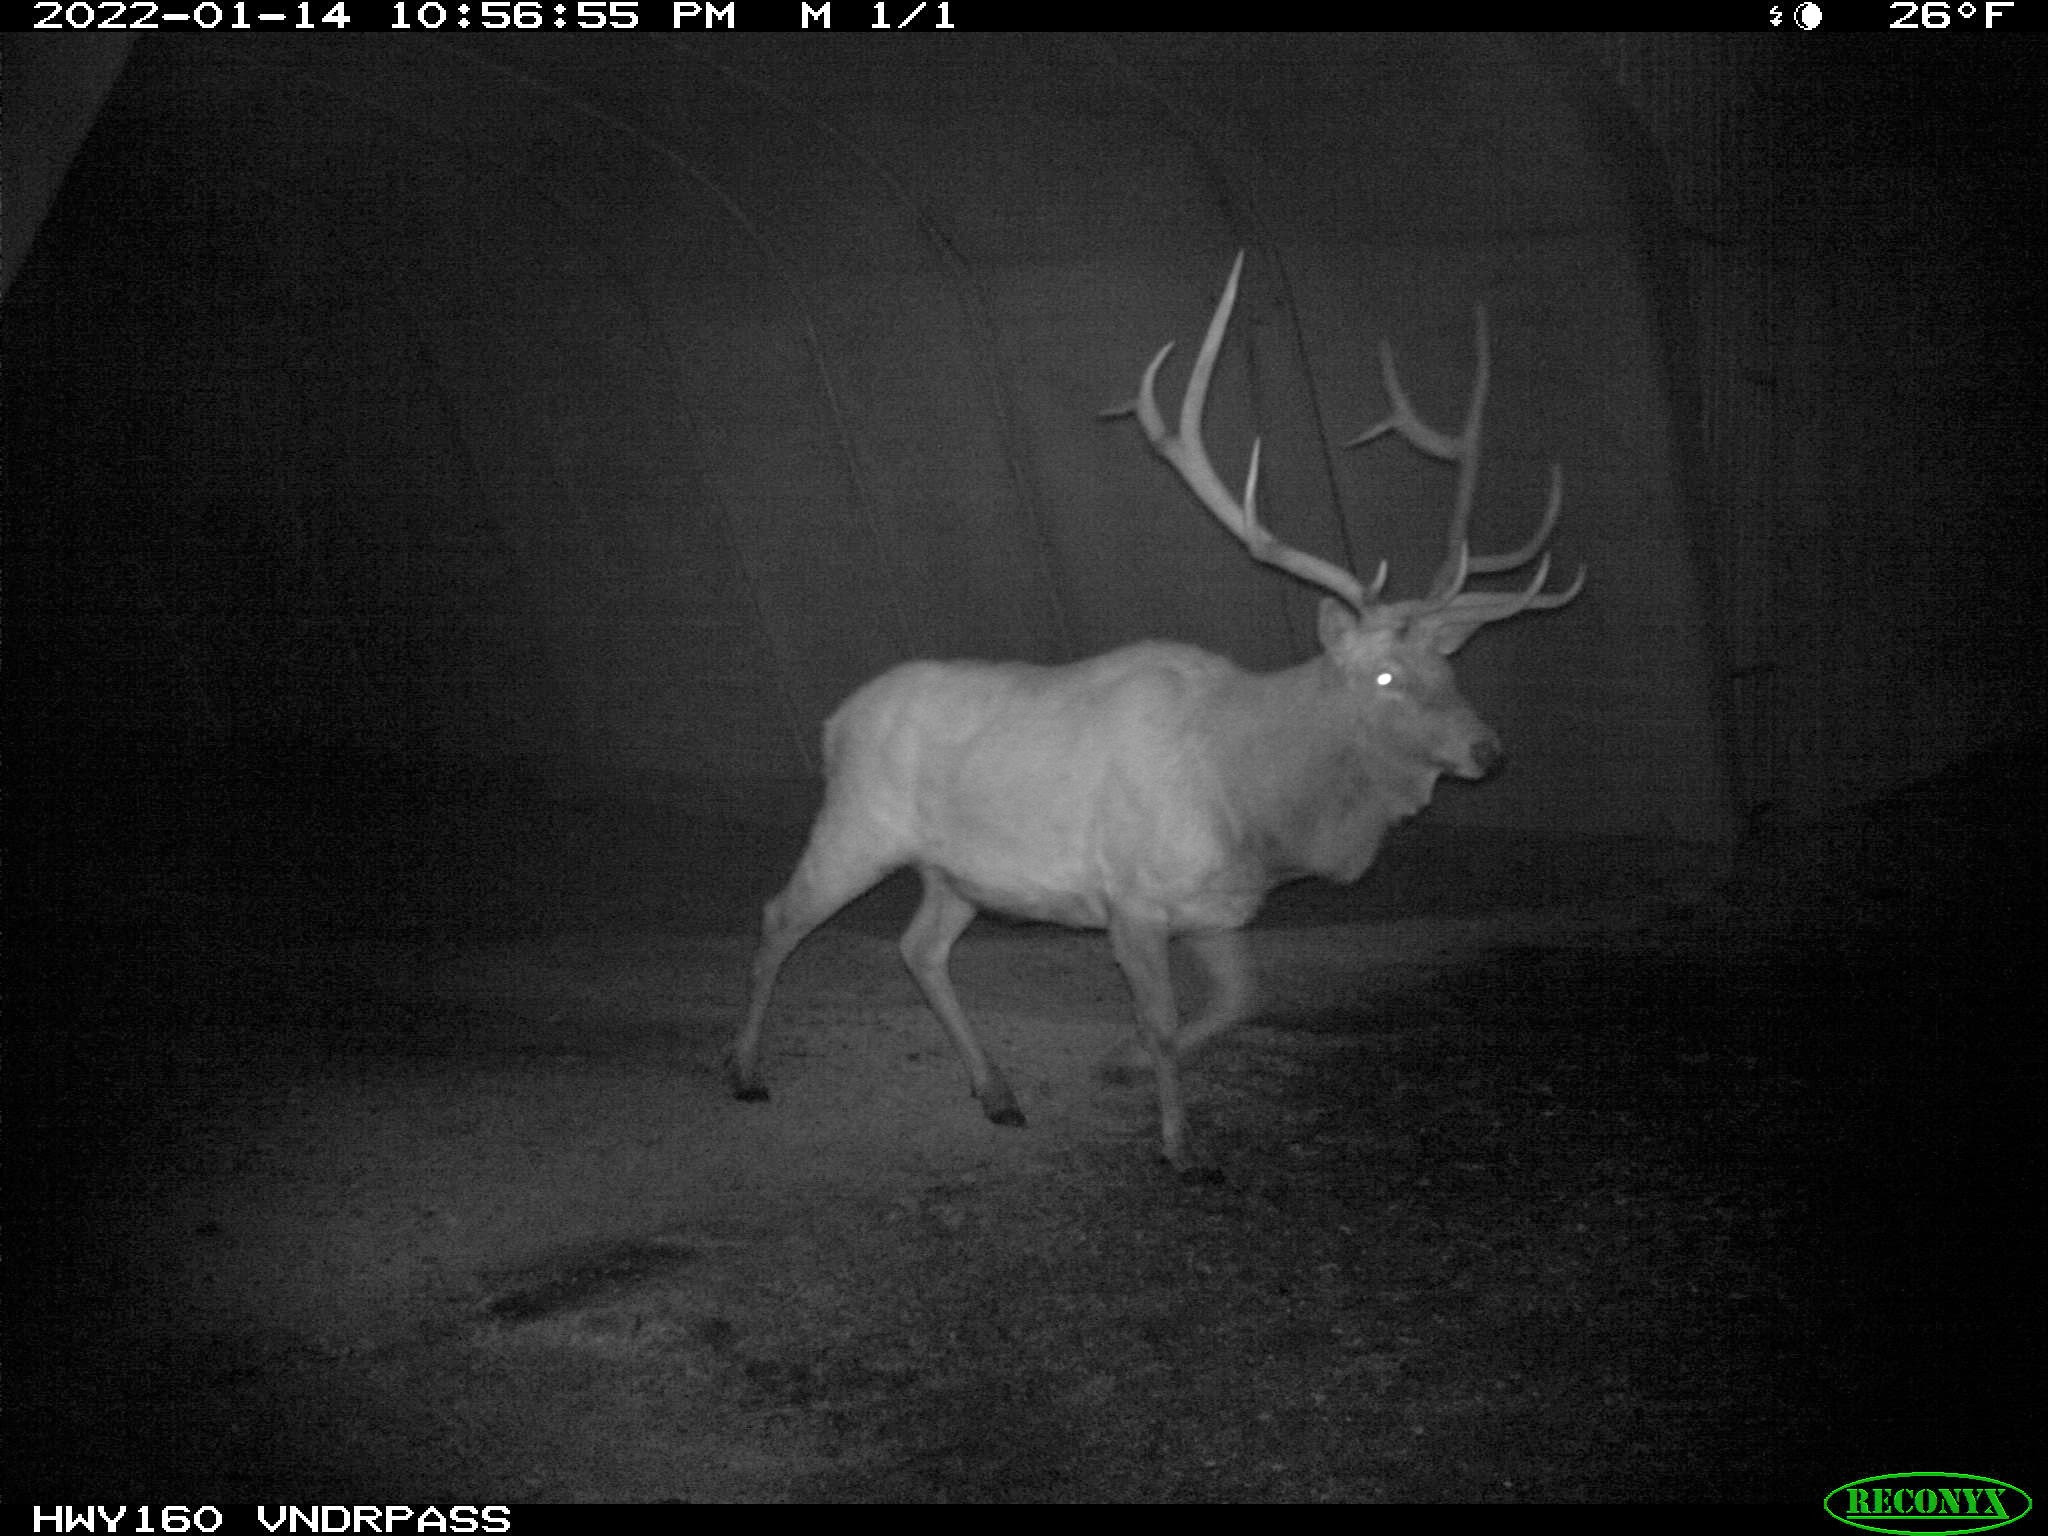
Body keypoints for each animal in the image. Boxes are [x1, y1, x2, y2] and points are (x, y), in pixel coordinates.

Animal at [725, 251, 1584, 1176]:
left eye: (1449, 664)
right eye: (1386, 675)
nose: (1489, 750)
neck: (1258, 809)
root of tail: (833, 721)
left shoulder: (1213, 908)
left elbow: (1241, 999)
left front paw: (1123, 1065)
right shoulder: (1131, 896)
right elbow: (1166, 1021)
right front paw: (1177, 1144)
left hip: (957, 871)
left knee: (919, 948)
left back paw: (997, 1093)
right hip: (858, 825)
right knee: (780, 916)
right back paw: (745, 1070)